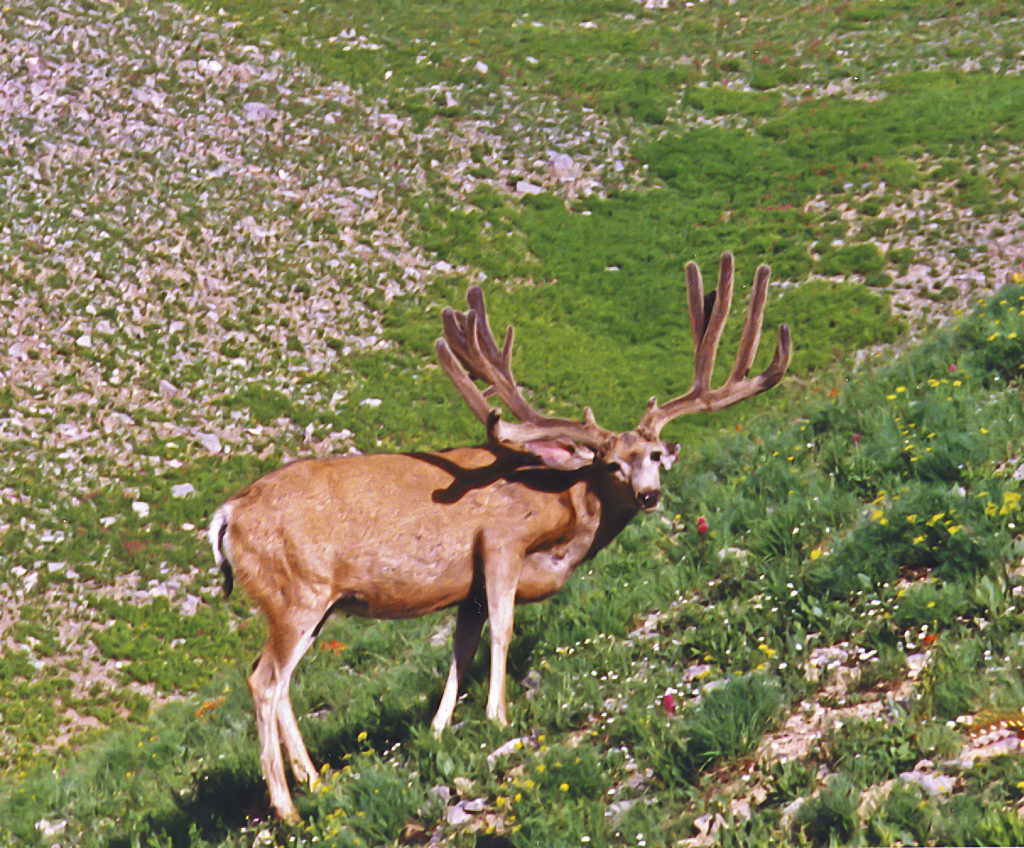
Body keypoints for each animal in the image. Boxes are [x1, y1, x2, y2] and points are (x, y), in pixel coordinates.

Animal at [208, 251, 791, 822]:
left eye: (653, 455)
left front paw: (439, 728)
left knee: (275, 678)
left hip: (312, 603)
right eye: (612, 464)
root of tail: (227, 514)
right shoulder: (500, 541)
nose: (649, 495)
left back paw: (314, 782)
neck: (563, 509)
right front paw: (498, 717)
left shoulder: (465, 589)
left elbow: (461, 649)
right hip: (295, 592)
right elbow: (503, 631)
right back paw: (286, 807)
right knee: (265, 681)